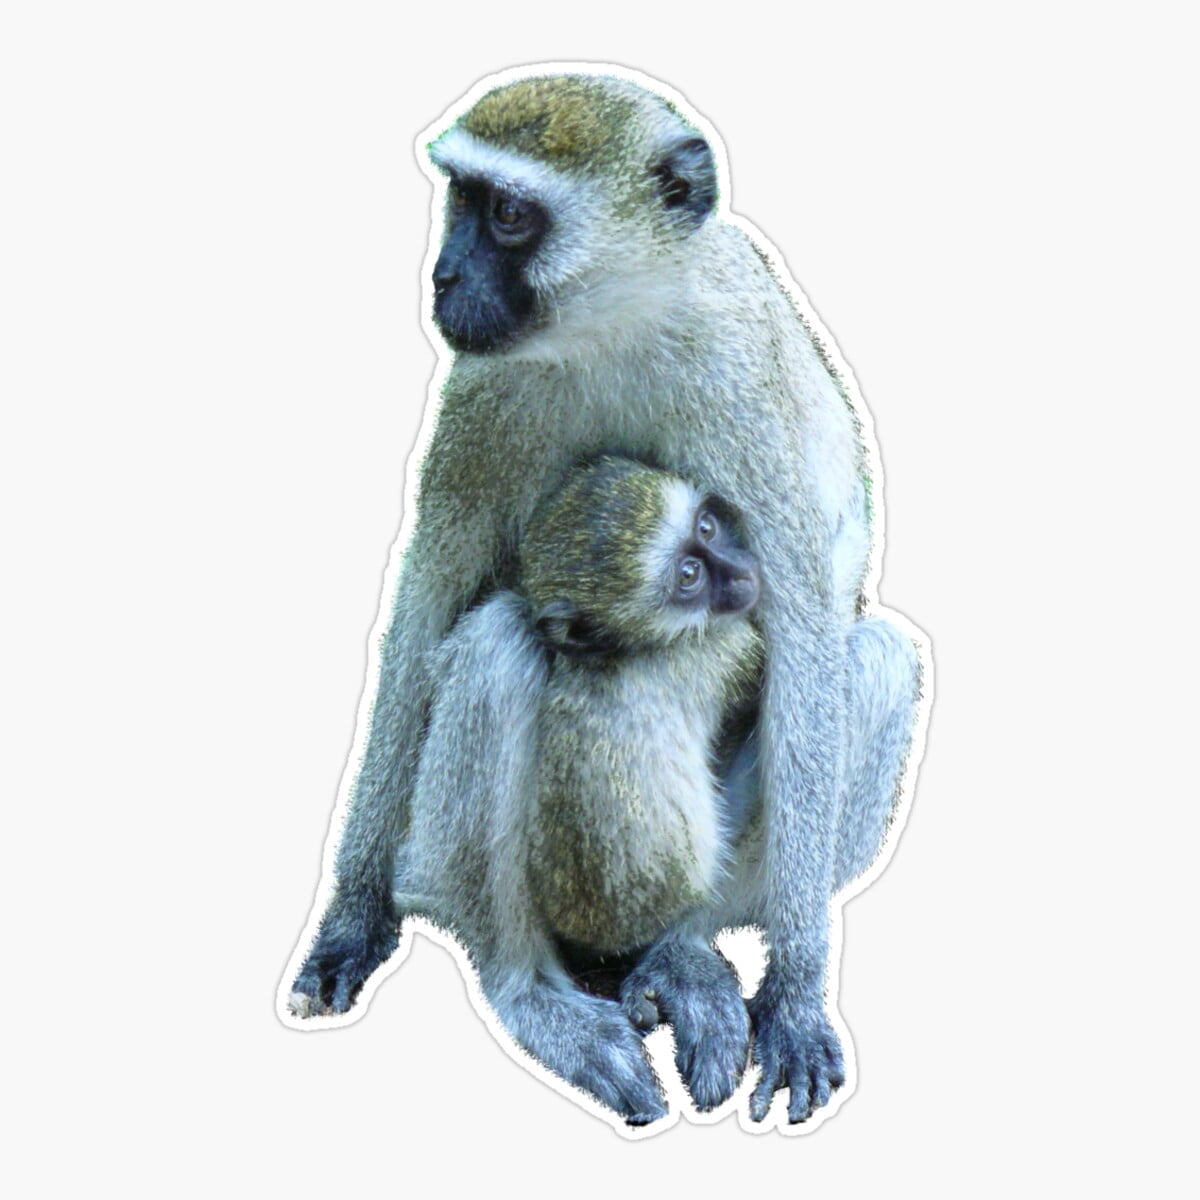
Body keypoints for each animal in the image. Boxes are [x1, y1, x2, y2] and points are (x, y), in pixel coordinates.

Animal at [286, 69, 925, 1128]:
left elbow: (804, 633)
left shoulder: (743, 397)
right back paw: (530, 990)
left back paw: (676, 954)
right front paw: (351, 914)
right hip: (442, 857)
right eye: (462, 199)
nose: (443, 279)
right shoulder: (484, 400)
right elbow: (428, 608)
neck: (618, 326)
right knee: (494, 645)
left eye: (508, 215)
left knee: (868, 661)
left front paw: (795, 994)